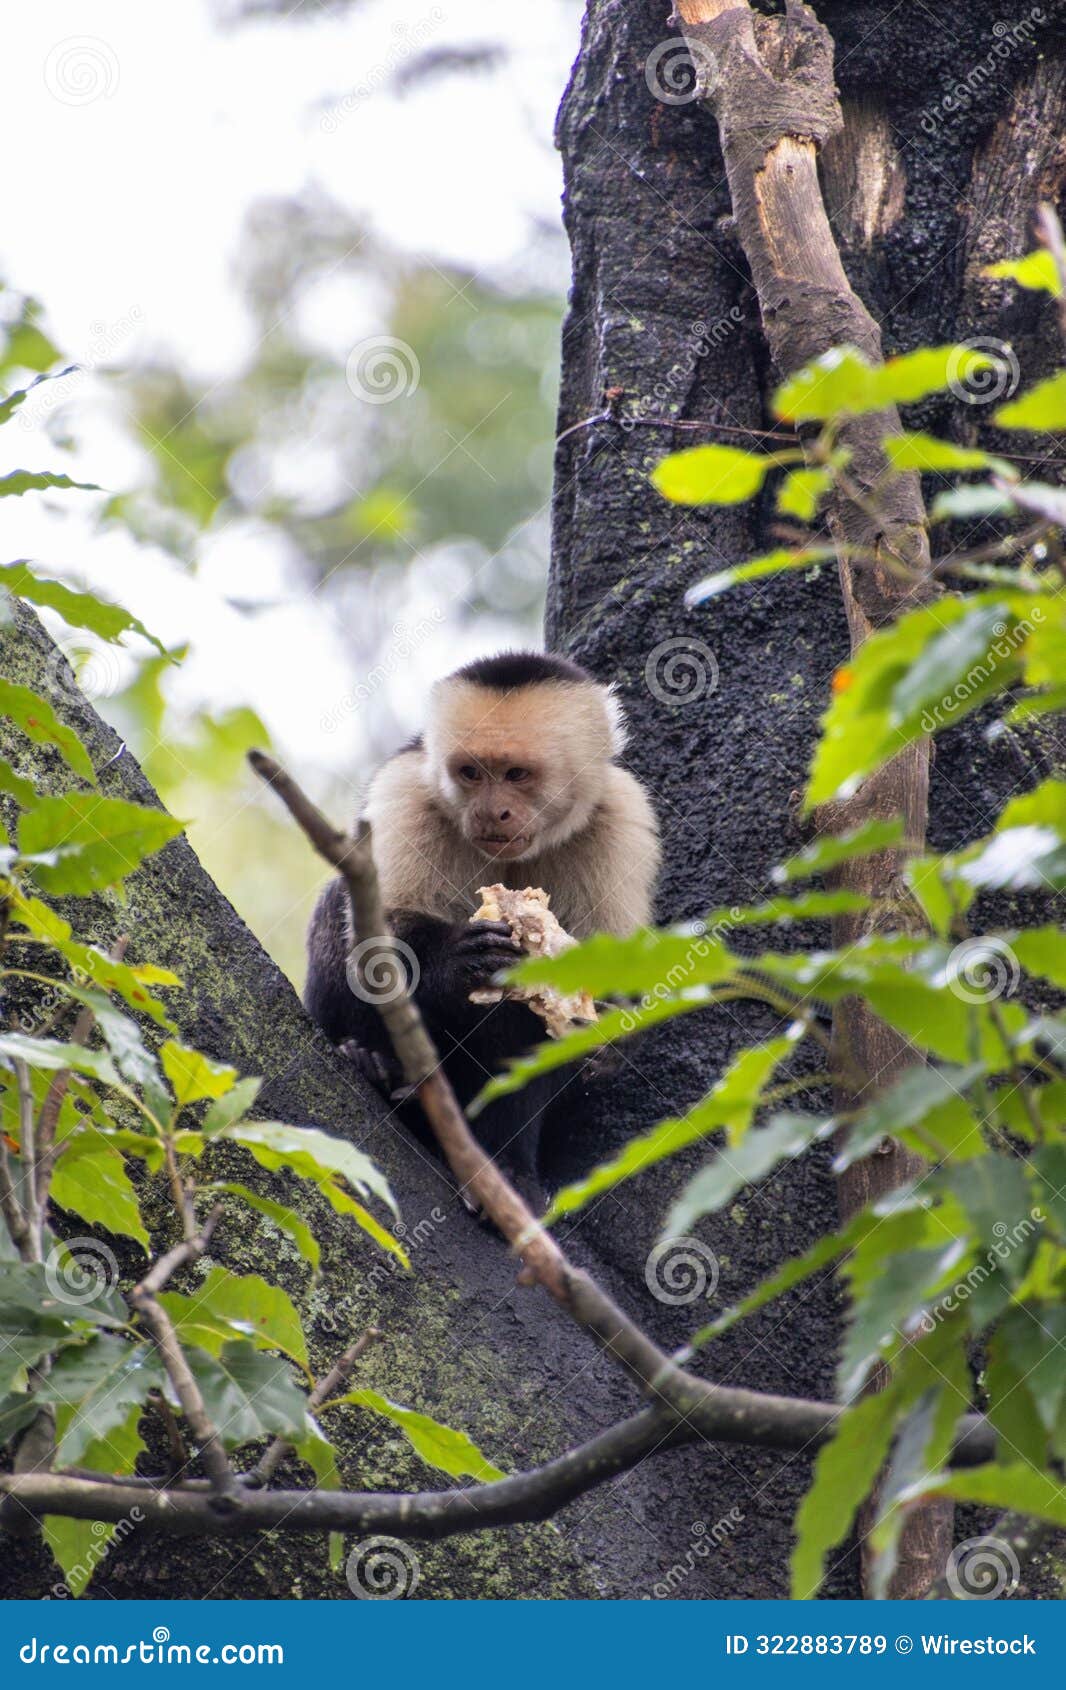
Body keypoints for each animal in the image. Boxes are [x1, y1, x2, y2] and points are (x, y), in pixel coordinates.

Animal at [304, 650, 660, 1207]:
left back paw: (505, 1166)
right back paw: (371, 1062)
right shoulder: (407, 790)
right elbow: (379, 940)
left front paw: (609, 1031)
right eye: (470, 773)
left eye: (516, 774)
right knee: (337, 905)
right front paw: (460, 963)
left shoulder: (620, 816)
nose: (494, 812)